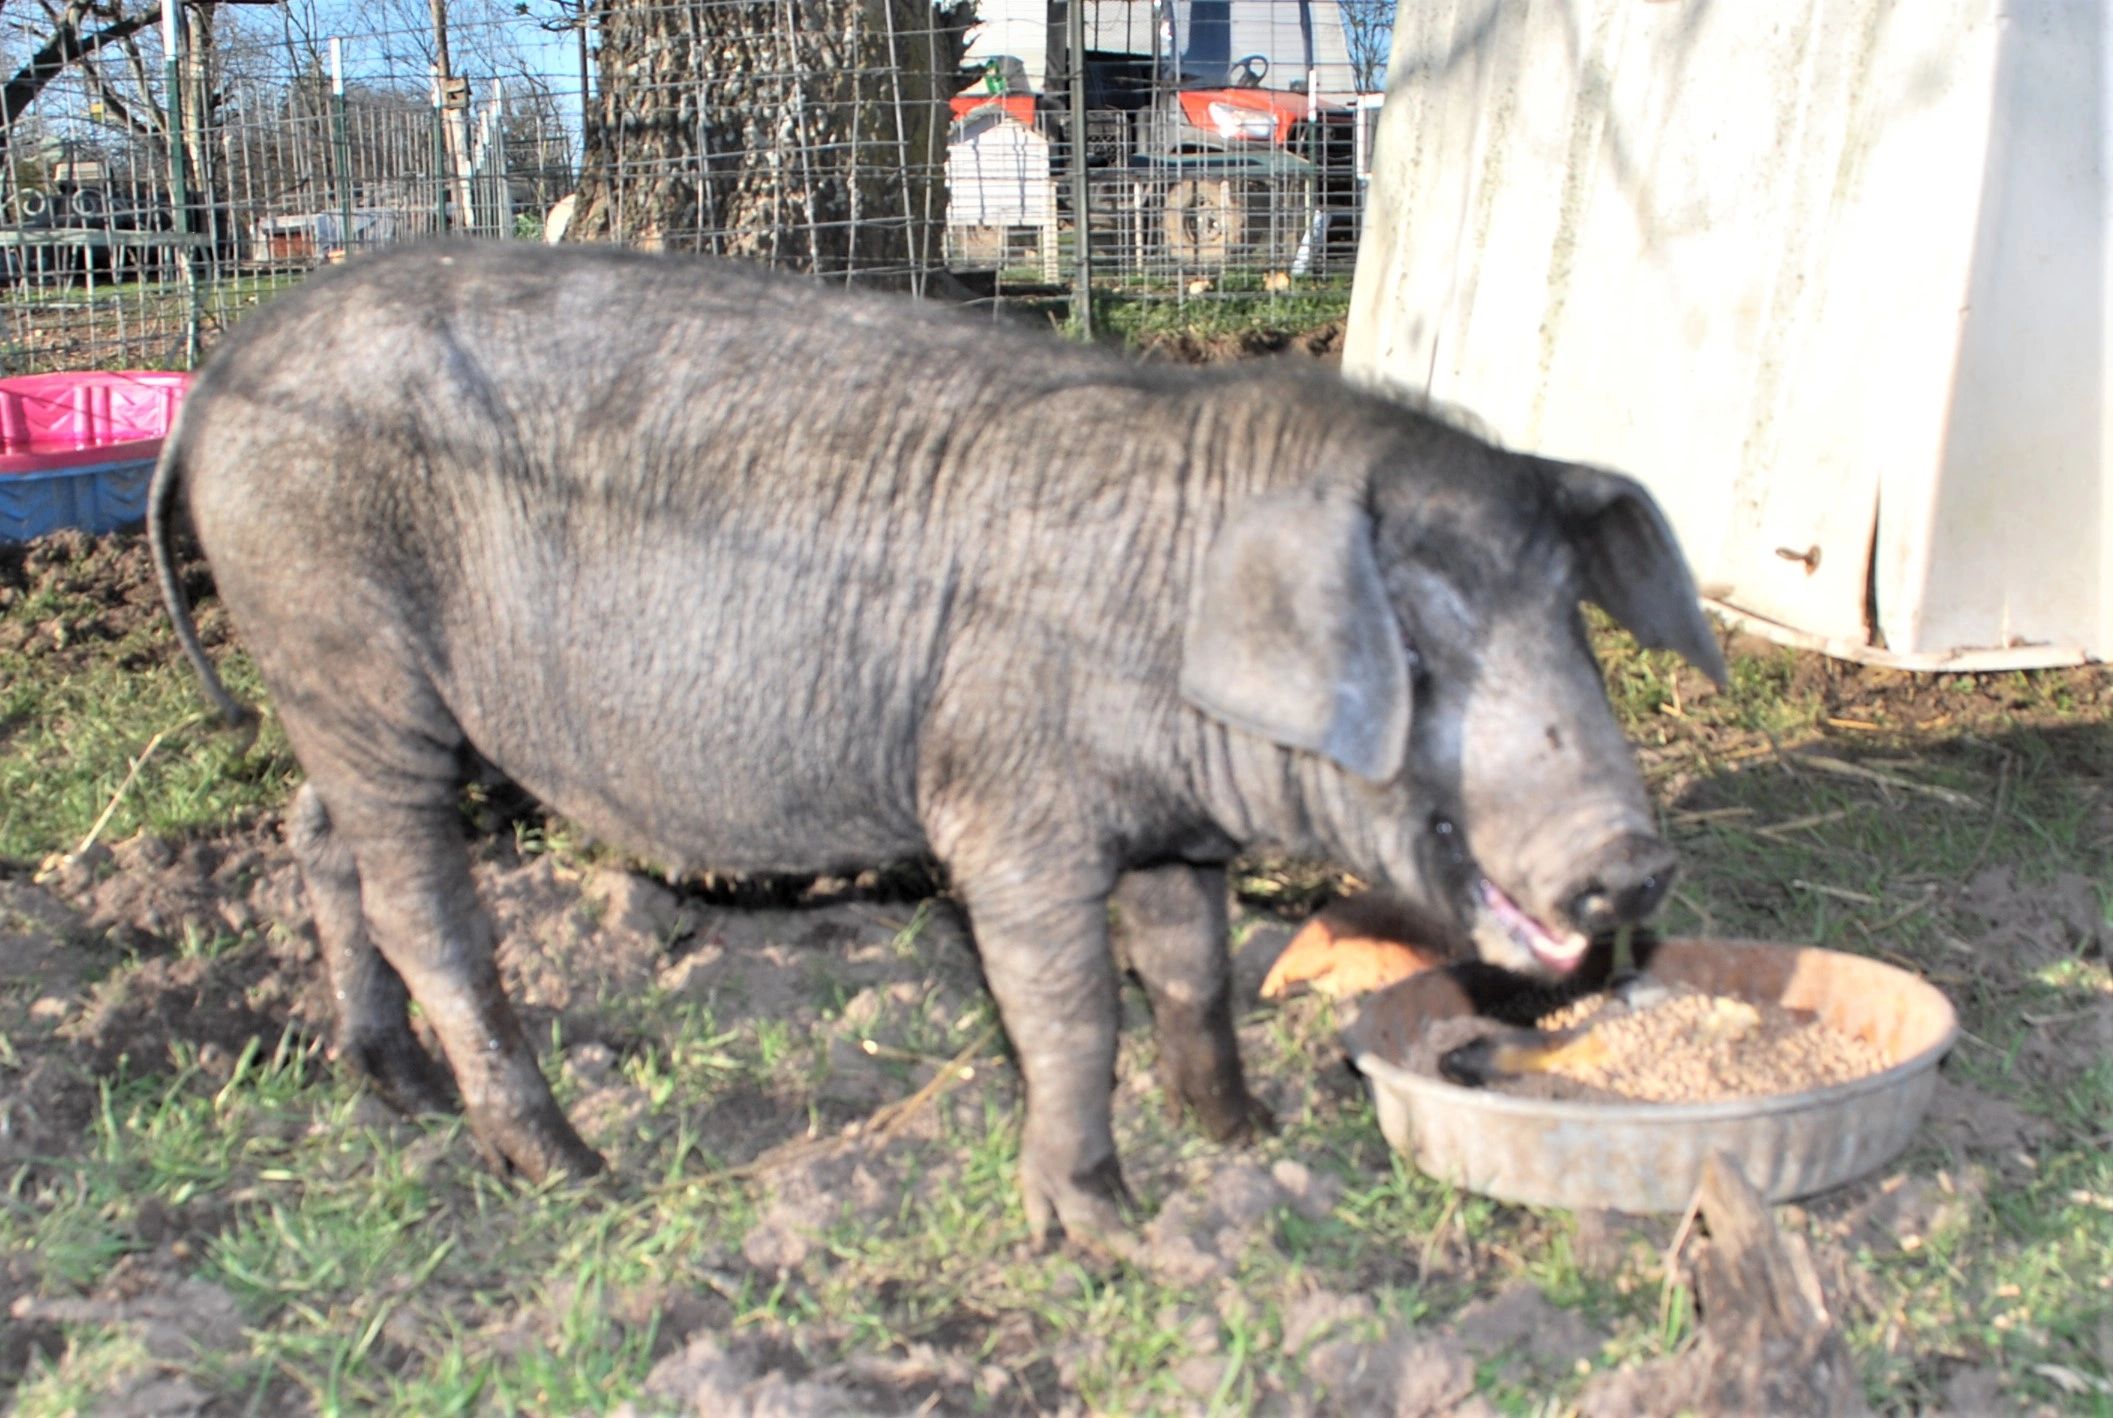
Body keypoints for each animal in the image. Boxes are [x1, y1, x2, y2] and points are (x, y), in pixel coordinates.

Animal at [149, 241, 1725, 1249]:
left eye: (1569, 628)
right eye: (1419, 656)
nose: (1632, 858)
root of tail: (223, 367)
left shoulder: (1174, 830)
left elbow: (1191, 968)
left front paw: (1246, 1135)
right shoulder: (1004, 806)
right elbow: (1068, 1011)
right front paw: (1107, 1225)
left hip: (348, 691)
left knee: (318, 840)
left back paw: (395, 1086)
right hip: (342, 635)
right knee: (423, 903)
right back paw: (567, 1165)